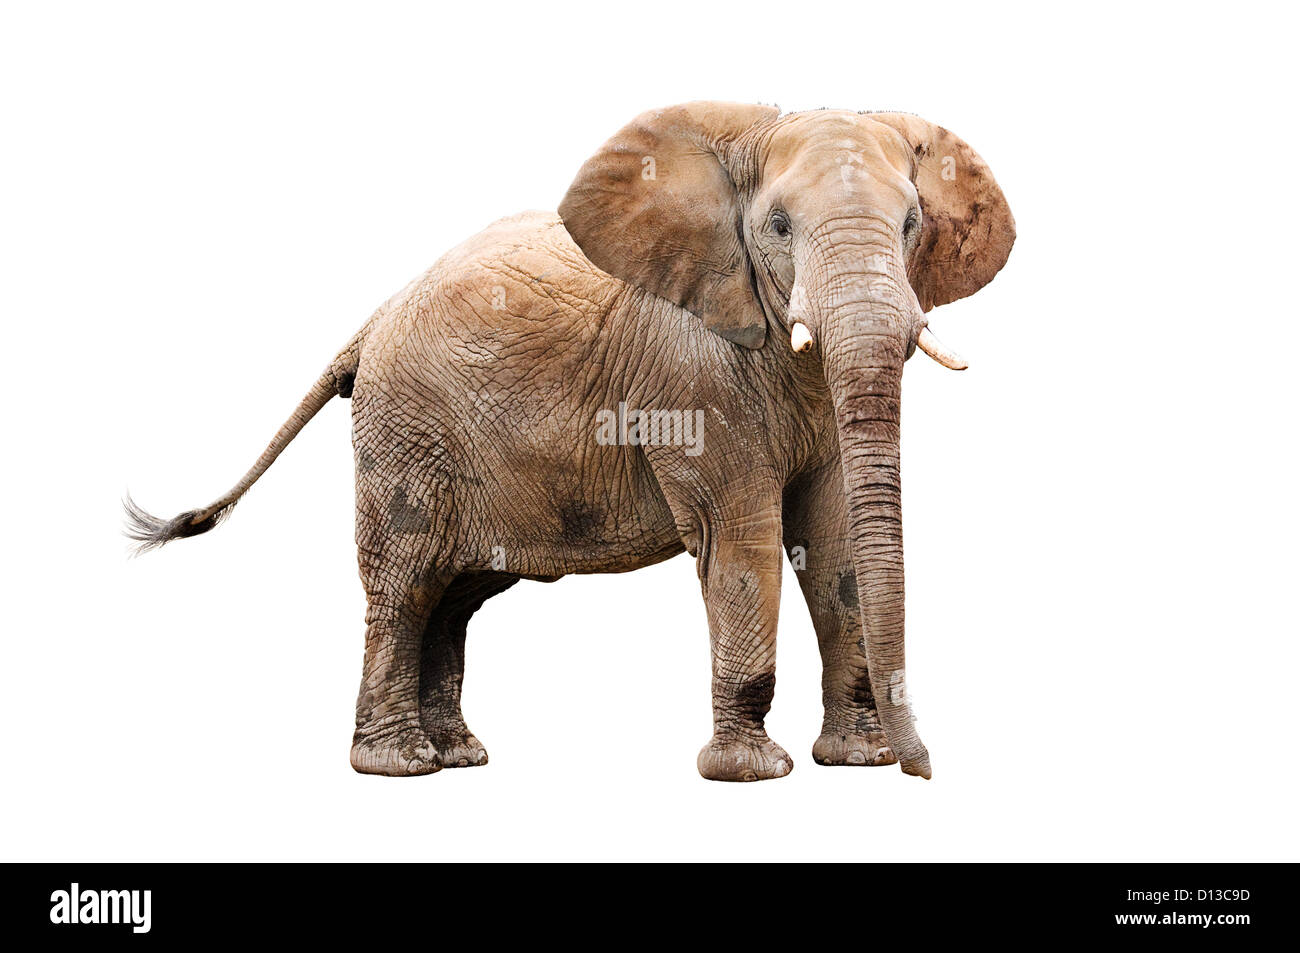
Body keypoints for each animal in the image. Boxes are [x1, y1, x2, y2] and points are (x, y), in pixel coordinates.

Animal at [126, 101, 1015, 781]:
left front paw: (857, 762)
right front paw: (752, 773)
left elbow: (832, 543)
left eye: (912, 223)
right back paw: (400, 766)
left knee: (455, 593)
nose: (925, 770)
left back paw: (460, 756)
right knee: (405, 584)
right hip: (403, 432)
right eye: (779, 225)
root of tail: (370, 322)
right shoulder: (688, 372)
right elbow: (745, 538)